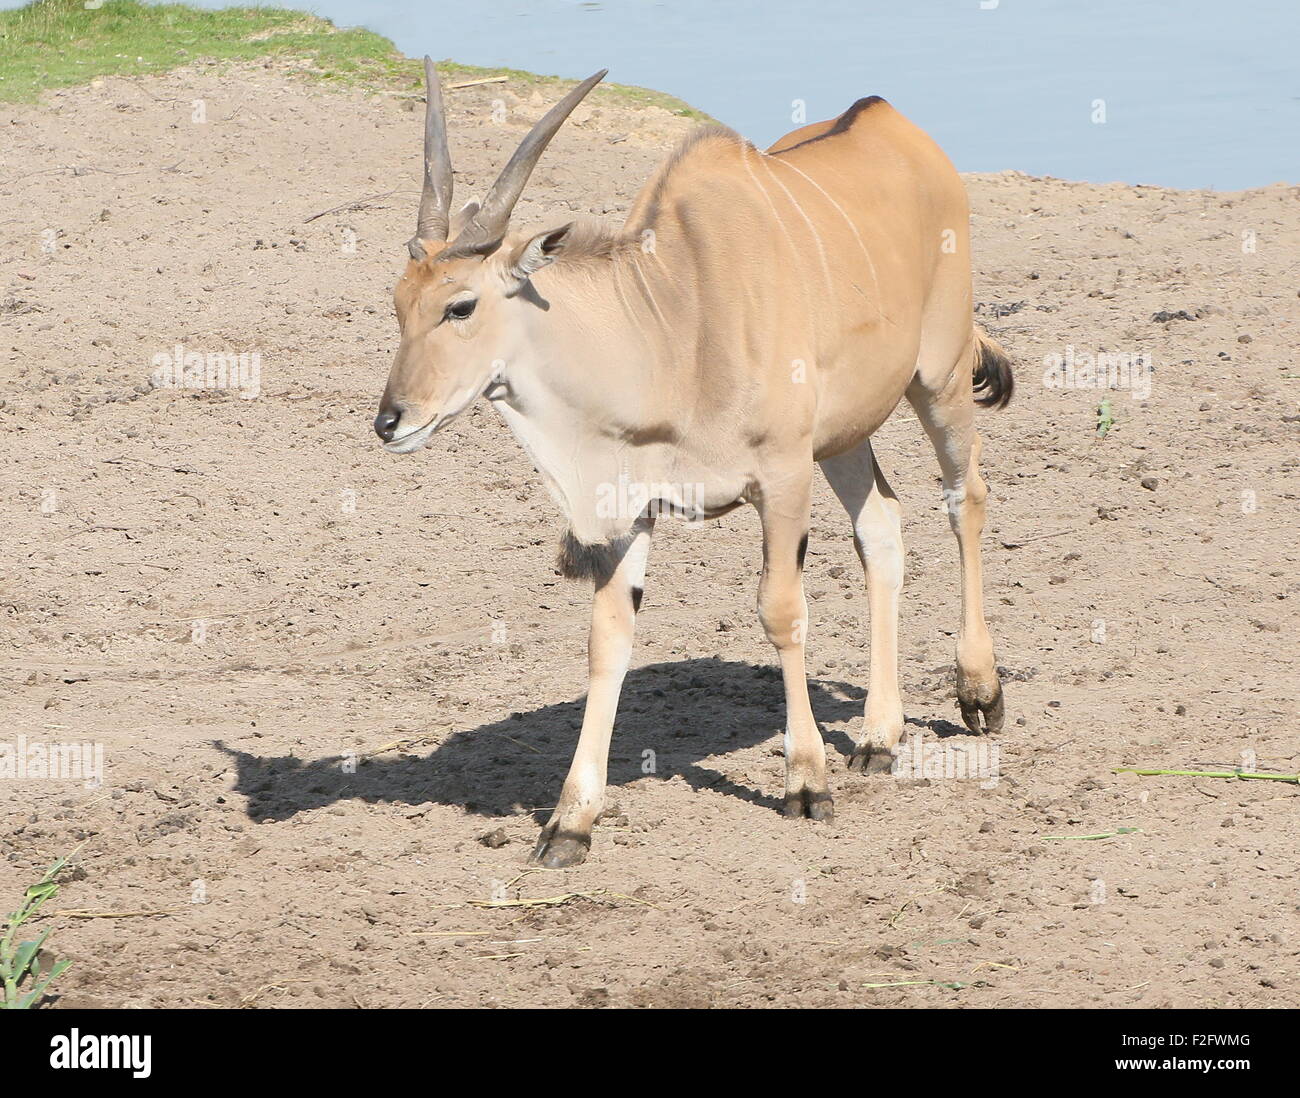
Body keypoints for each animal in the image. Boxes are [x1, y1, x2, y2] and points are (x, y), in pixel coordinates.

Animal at [374, 59, 1014, 867]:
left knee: (966, 498)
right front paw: (570, 821)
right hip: (844, 437)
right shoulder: (631, 512)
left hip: (940, 380)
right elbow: (607, 641)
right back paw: (877, 735)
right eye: (398, 304)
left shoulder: (781, 479)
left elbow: (781, 613)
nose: (390, 421)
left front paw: (806, 782)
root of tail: (891, 120)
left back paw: (979, 691)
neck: (674, 320)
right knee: (882, 527)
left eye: (459, 306)